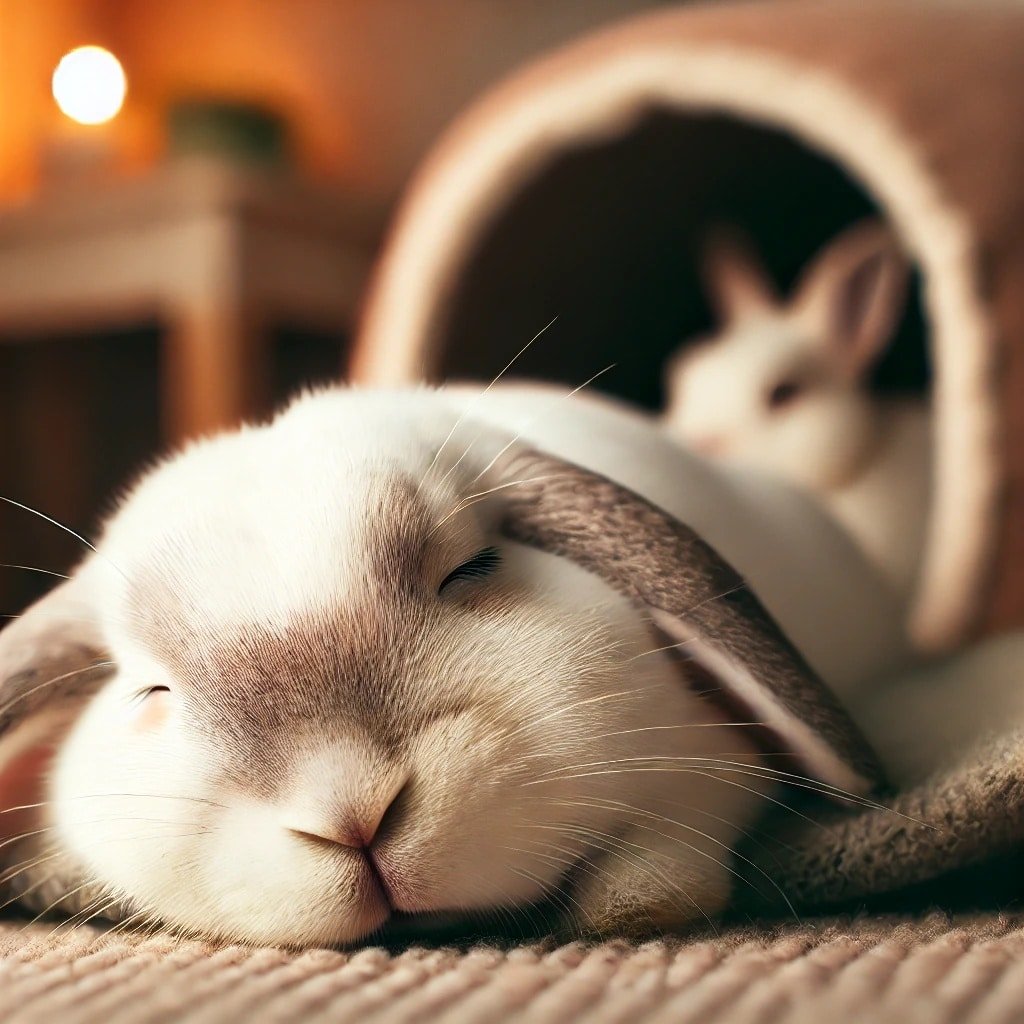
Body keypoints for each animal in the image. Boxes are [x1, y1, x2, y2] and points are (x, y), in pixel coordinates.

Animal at [0, 382, 911, 947]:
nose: (354, 817)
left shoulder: (712, 767)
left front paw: (628, 898)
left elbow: (667, 860)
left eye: (470, 569)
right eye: (149, 690)